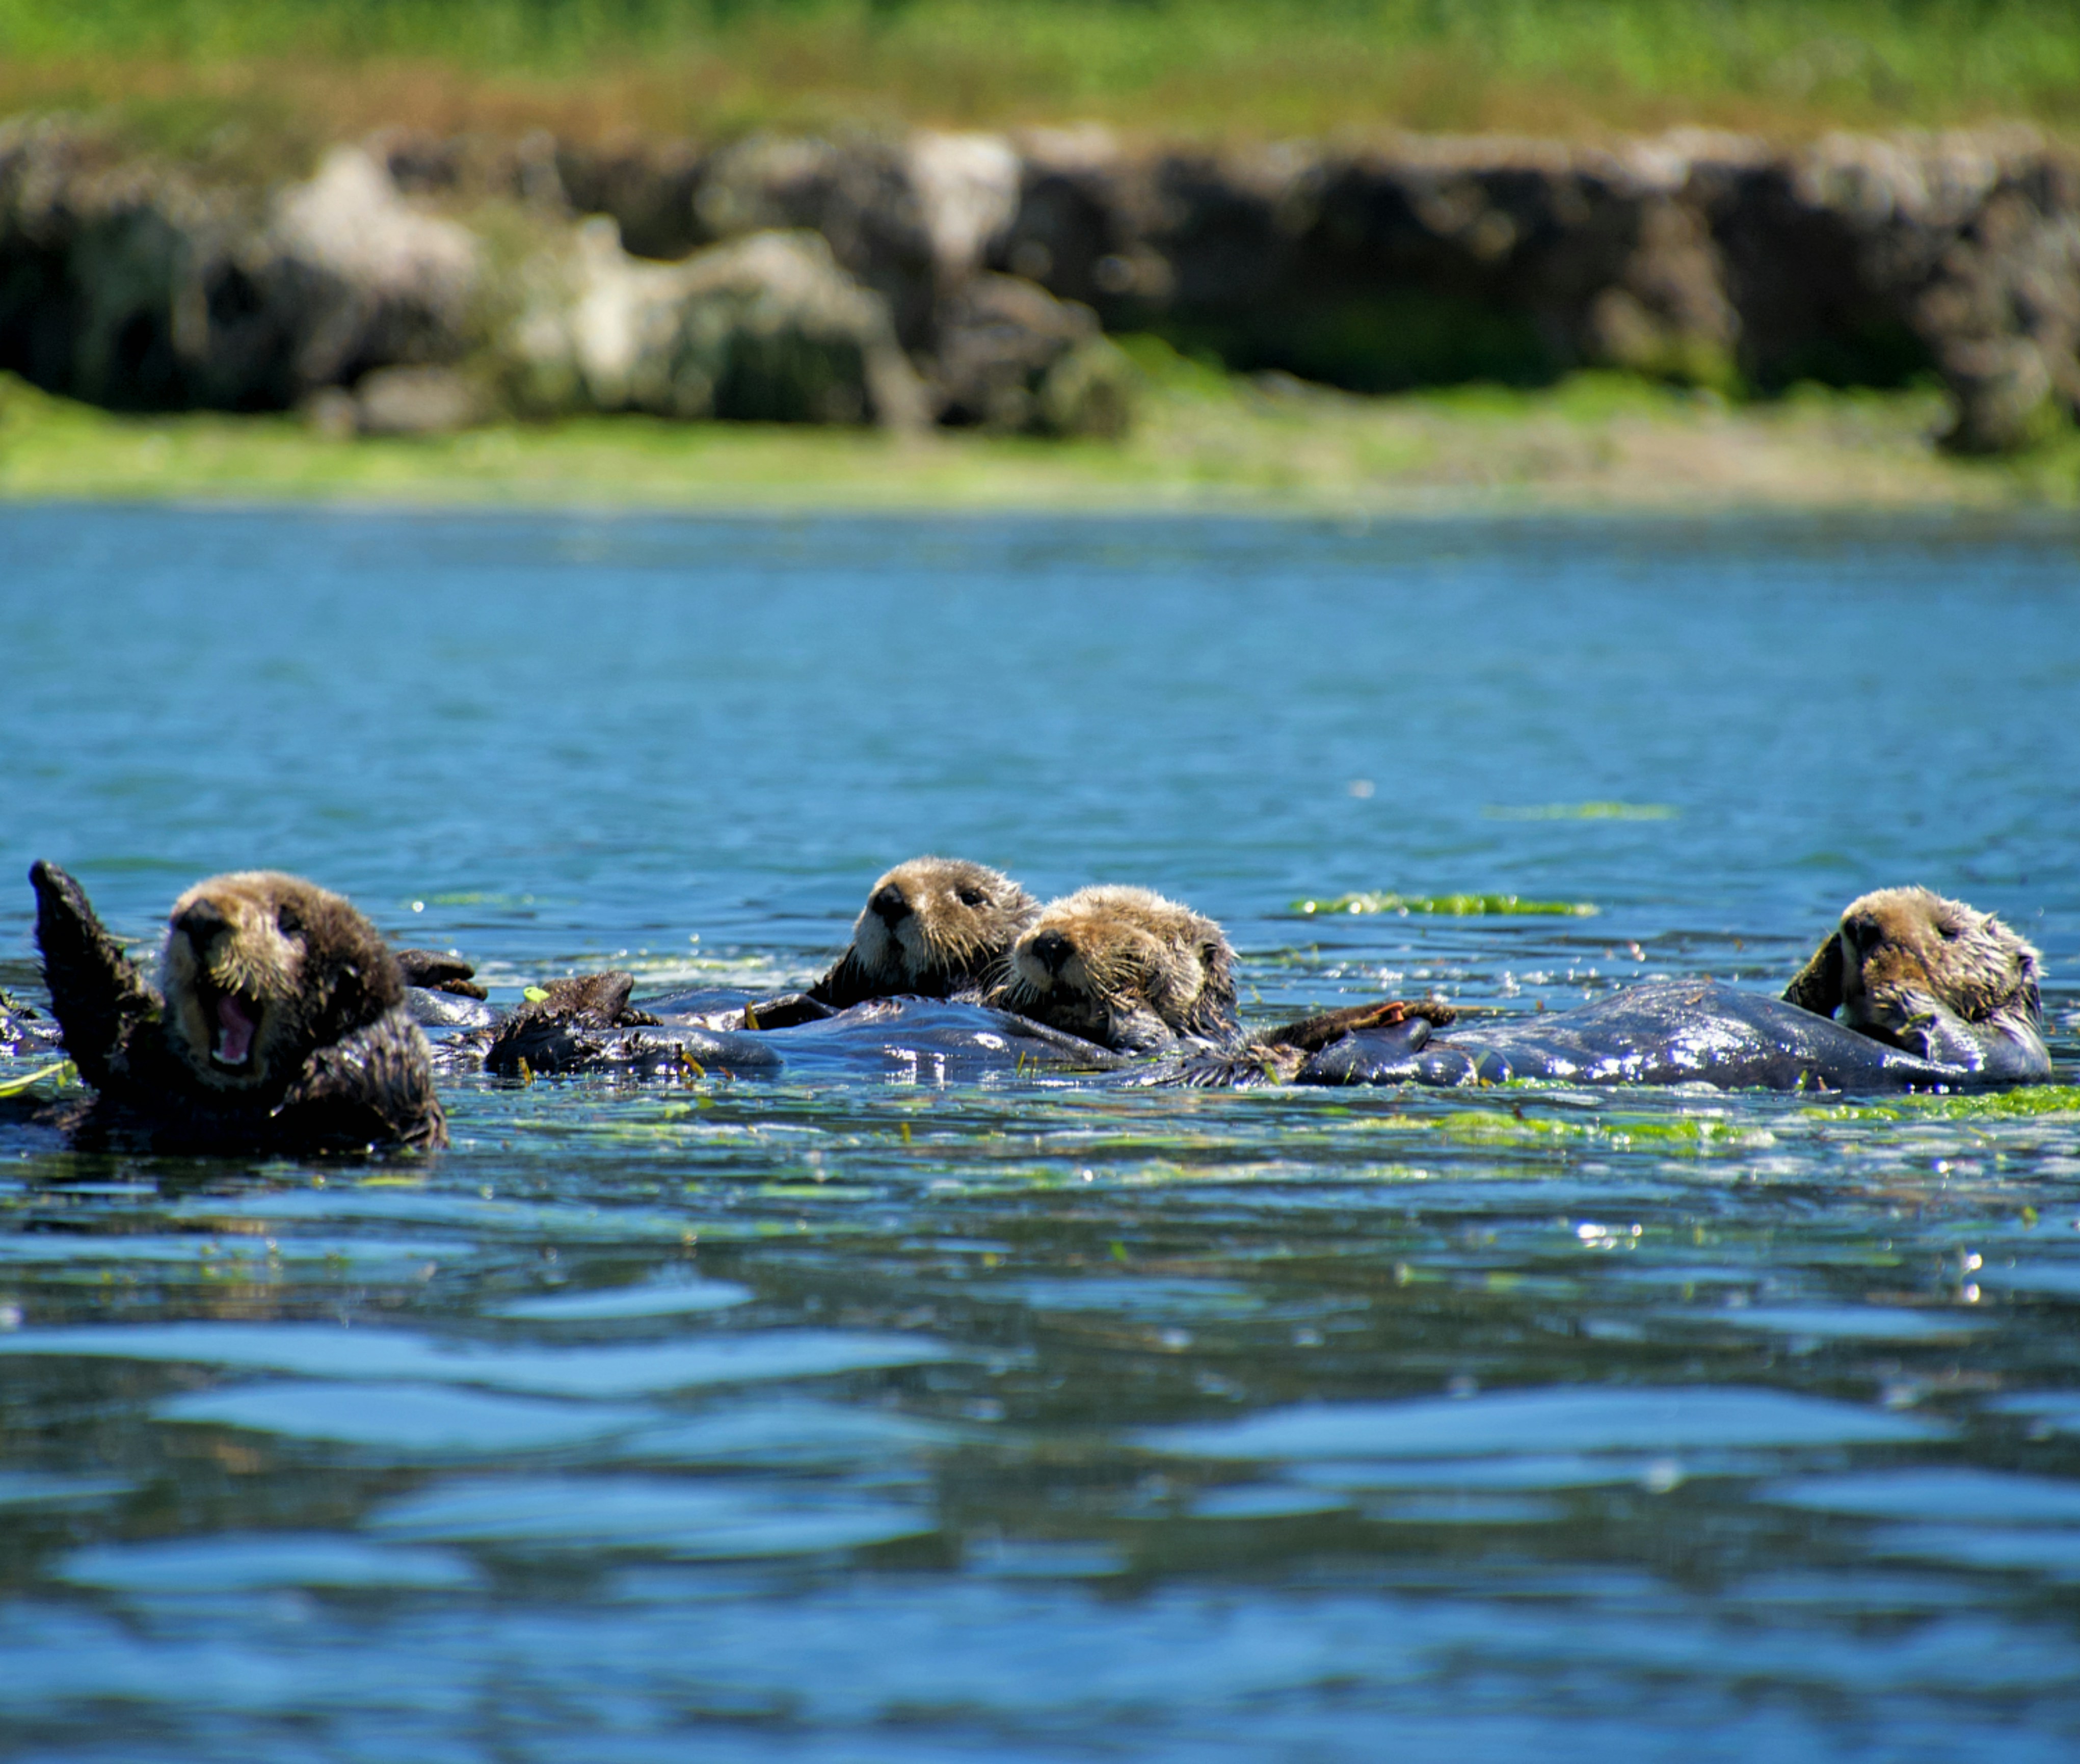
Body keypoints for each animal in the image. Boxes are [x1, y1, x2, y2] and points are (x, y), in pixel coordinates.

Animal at [27, 861, 447, 1151]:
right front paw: (58, 889)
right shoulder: (145, 1069)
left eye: (289, 924)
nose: (200, 918)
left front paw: (349, 1052)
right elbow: (108, 1019)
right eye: (180, 912)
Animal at [1781, 886, 2049, 1084]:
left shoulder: (2013, 1048)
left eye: (1947, 931)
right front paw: (1829, 955)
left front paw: (1892, 960)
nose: (1861, 925)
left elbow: (1966, 1051)